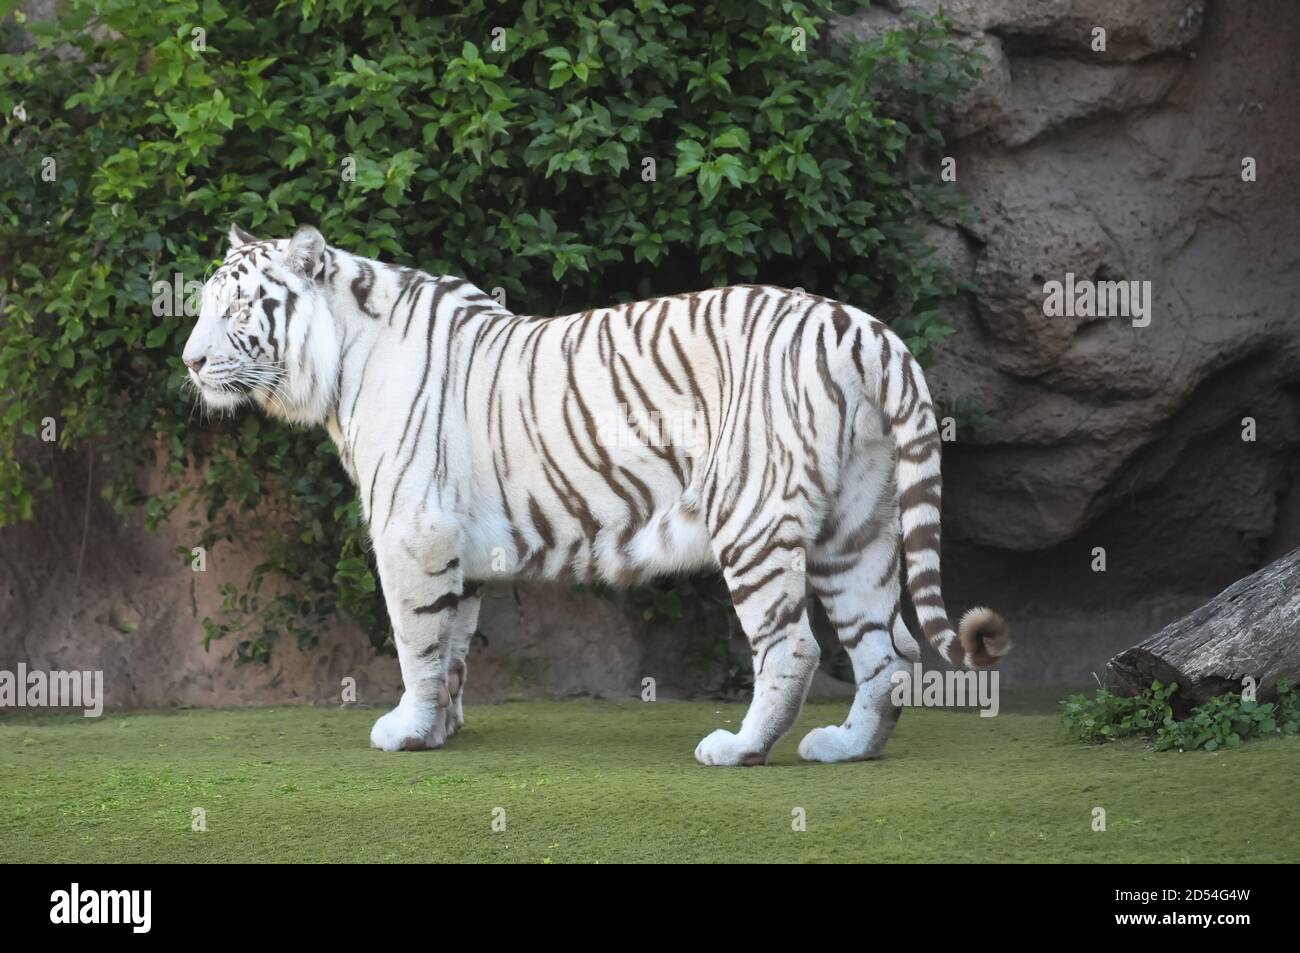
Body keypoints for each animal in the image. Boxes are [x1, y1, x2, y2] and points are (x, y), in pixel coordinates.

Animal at [182, 223, 1010, 765]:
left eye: (236, 309)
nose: (188, 360)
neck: (336, 365)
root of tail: (862, 328)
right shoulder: (457, 543)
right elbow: (453, 645)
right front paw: (441, 729)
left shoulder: (413, 528)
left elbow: (417, 640)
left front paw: (407, 731)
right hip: (857, 526)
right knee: (887, 649)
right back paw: (847, 747)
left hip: (753, 519)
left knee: (794, 645)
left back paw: (739, 747)